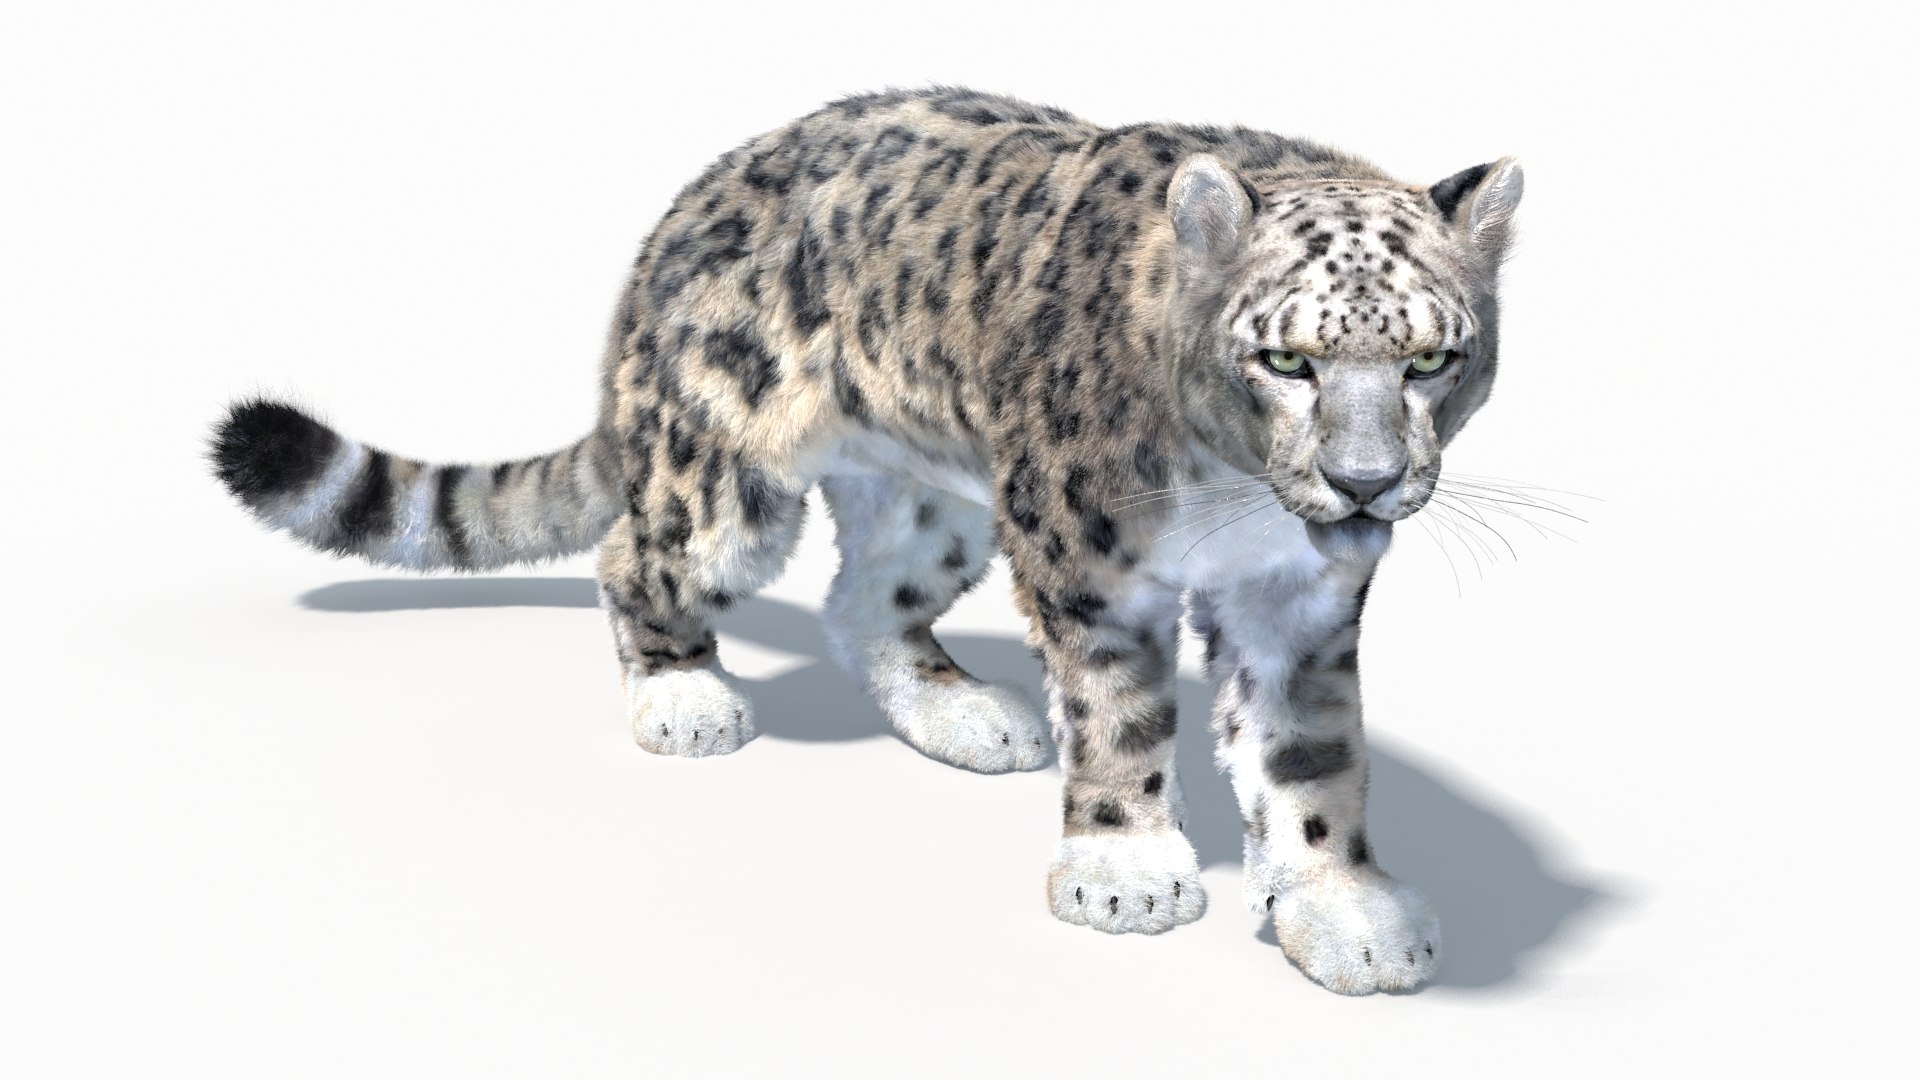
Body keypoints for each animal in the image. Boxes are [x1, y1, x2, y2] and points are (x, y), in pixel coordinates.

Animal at [210, 87, 1523, 995]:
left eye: (1432, 359)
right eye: (1288, 359)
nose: (1365, 484)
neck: (1243, 497)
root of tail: (677, 217)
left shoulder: (1297, 603)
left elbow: (1311, 757)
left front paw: (1345, 908)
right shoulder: (1089, 562)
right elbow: (1120, 713)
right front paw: (1126, 868)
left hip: (936, 508)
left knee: (864, 603)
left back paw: (967, 713)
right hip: (724, 484)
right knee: (637, 556)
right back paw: (684, 697)